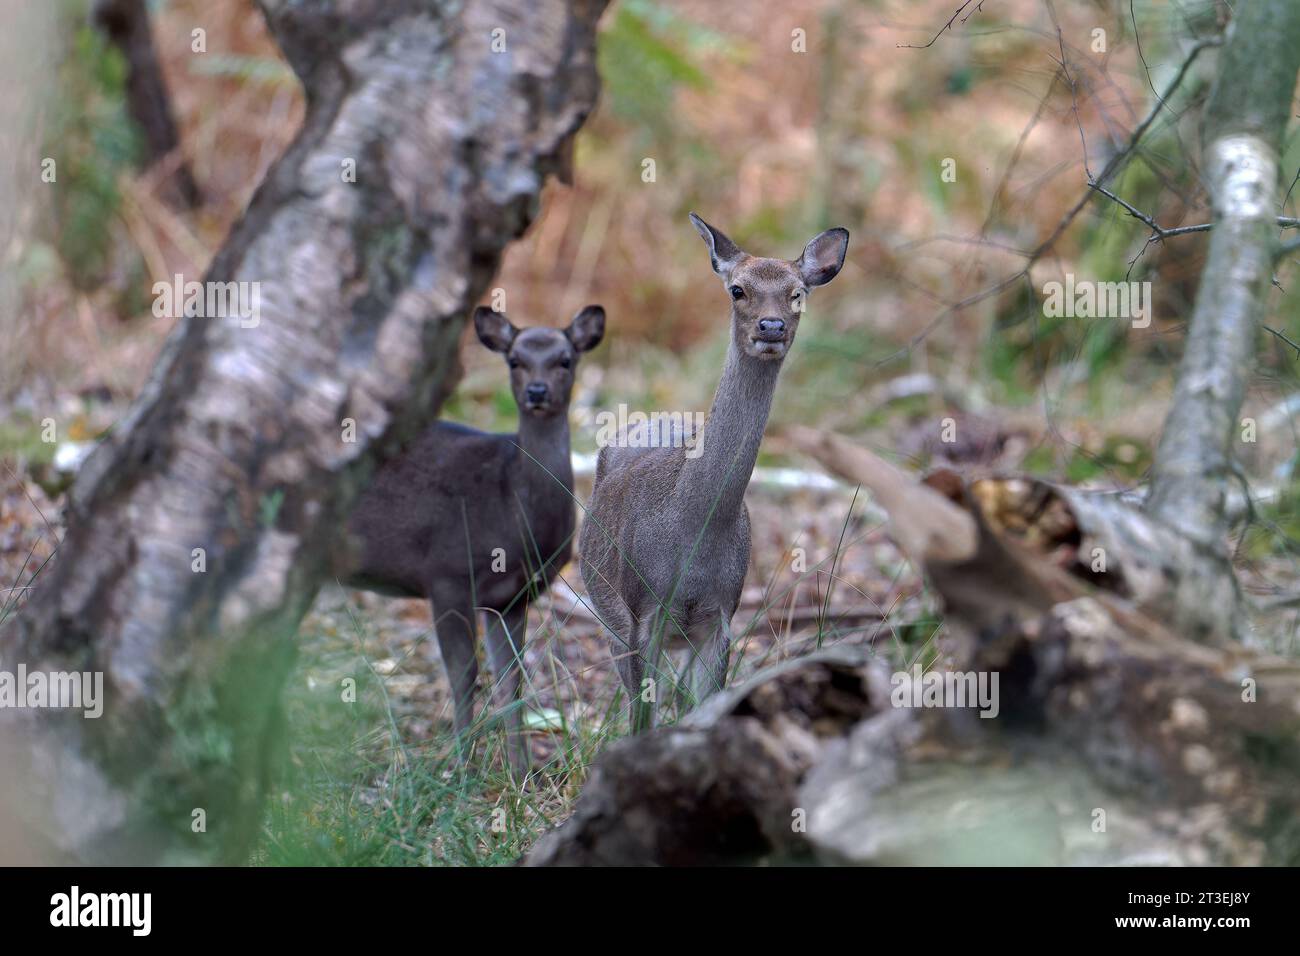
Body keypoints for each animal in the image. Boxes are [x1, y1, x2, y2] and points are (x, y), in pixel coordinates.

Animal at [344, 304, 605, 775]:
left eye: (565, 359)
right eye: (515, 360)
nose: (537, 391)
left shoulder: (512, 597)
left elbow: (511, 679)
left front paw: (521, 771)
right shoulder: (445, 574)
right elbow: (464, 675)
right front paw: (463, 767)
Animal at [580, 213, 848, 732]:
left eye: (797, 292)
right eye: (737, 289)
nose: (771, 325)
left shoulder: (720, 616)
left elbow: (703, 708)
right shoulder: (641, 614)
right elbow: (643, 715)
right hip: (608, 617)